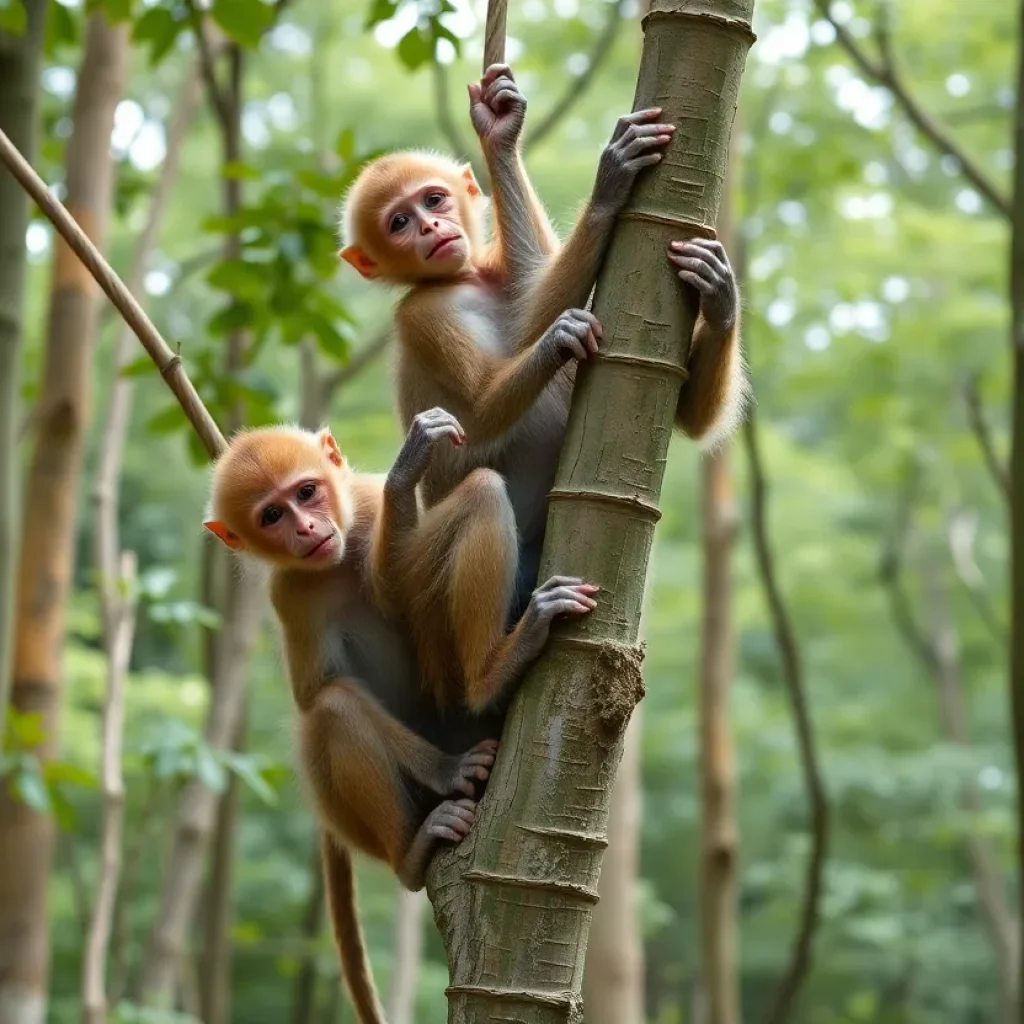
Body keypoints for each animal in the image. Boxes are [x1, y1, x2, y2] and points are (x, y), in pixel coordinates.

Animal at [203, 407, 598, 1023]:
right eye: (272, 515)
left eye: (307, 492)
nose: (307, 529)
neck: (337, 561)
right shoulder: (289, 592)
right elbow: (317, 693)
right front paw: (448, 769)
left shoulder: (363, 509)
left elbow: (396, 596)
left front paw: (405, 473)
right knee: (332, 711)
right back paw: (413, 852)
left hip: (452, 691)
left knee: (481, 493)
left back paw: (493, 674)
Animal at [339, 64, 747, 619]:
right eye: (399, 222)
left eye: (433, 200)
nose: (430, 228)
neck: (465, 280)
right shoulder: (423, 314)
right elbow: (482, 409)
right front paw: (605, 192)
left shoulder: (497, 270)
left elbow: (687, 415)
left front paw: (500, 131)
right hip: (419, 583)